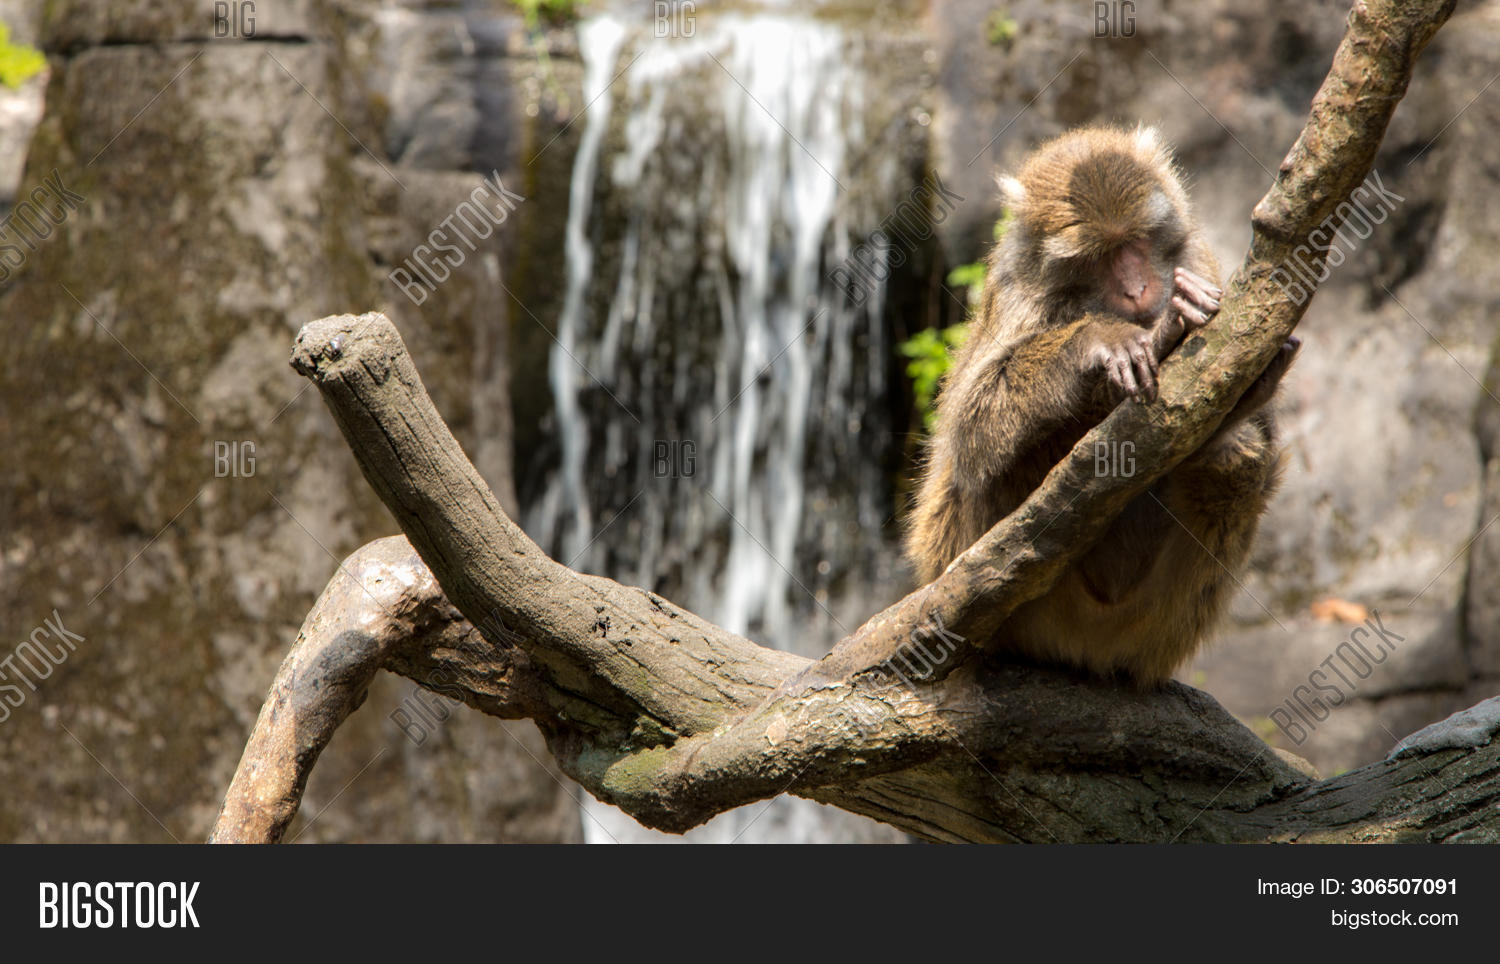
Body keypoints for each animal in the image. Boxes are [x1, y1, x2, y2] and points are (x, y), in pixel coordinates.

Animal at [905, 124, 1299, 685]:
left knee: (1240, 463)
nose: (1137, 289)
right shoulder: (1020, 296)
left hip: (1169, 618)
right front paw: (1100, 341)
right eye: (1098, 256)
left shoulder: (1195, 264)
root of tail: (1087, 649)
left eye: (1135, 242)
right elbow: (972, 429)